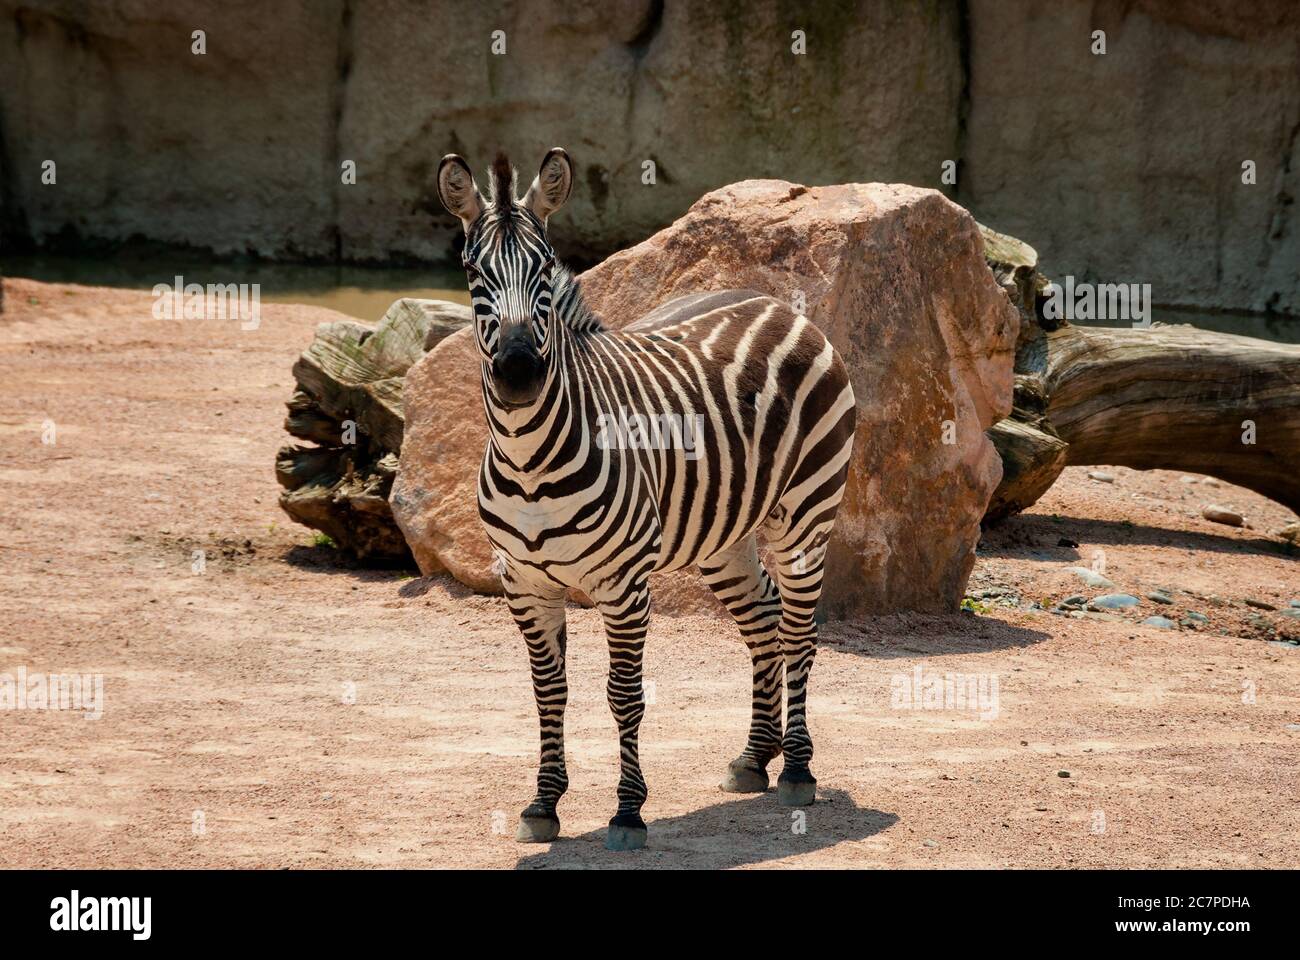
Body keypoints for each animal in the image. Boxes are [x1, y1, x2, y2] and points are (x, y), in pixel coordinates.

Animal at [436, 149, 856, 851]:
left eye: (546, 270)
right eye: (473, 272)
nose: (519, 374)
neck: (528, 461)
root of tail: (775, 303)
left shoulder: (624, 584)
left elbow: (624, 695)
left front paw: (628, 812)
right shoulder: (524, 582)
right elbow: (549, 692)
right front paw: (543, 804)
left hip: (804, 515)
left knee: (800, 630)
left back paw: (797, 769)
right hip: (723, 536)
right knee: (764, 619)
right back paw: (755, 758)